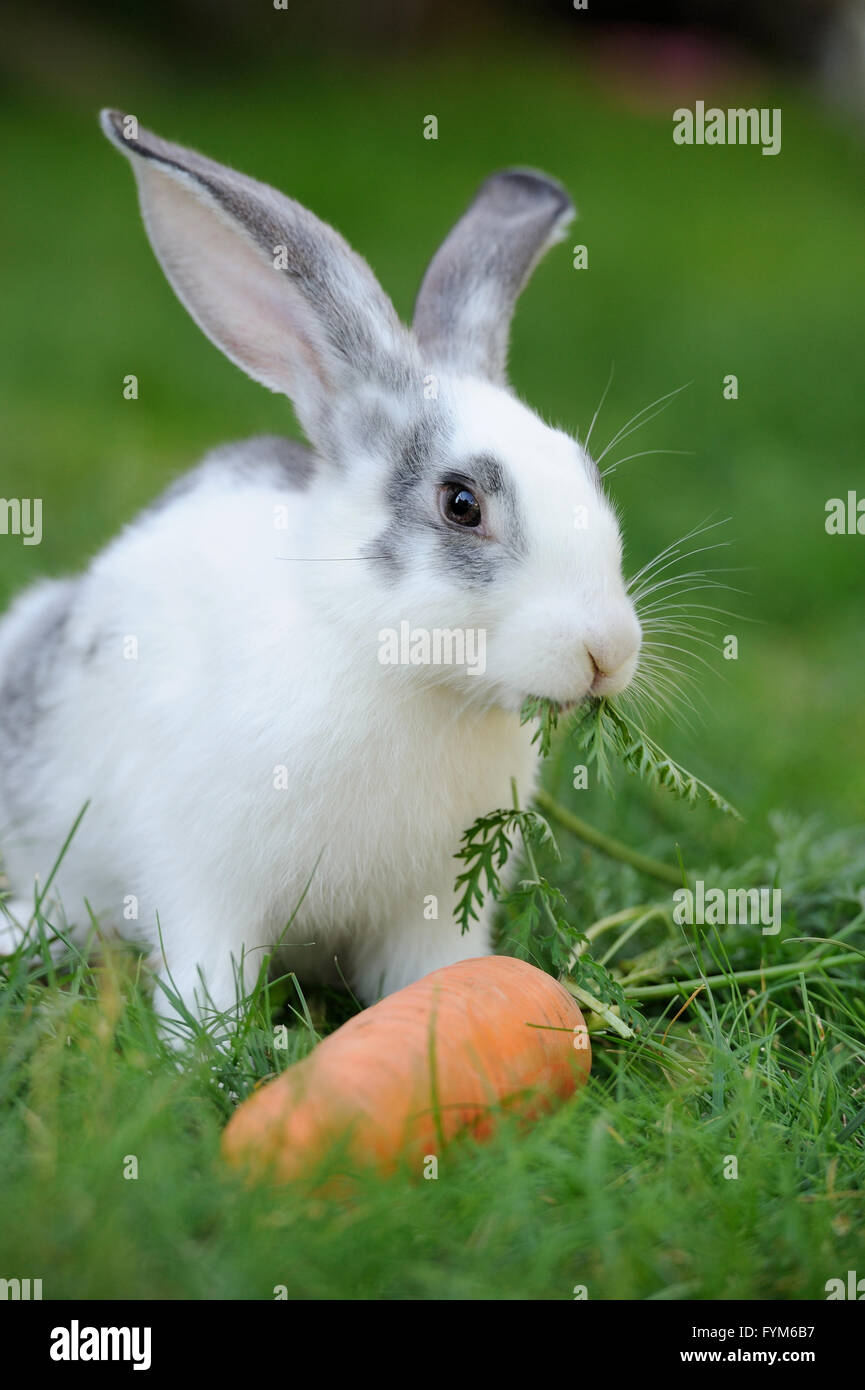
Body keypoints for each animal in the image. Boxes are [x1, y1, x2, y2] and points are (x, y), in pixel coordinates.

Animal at [0, 110, 642, 1040]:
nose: (608, 653)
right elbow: (207, 978)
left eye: (585, 473)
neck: (400, 670)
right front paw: (209, 1051)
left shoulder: (428, 913)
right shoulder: (206, 885)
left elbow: (432, 974)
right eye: (460, 504)